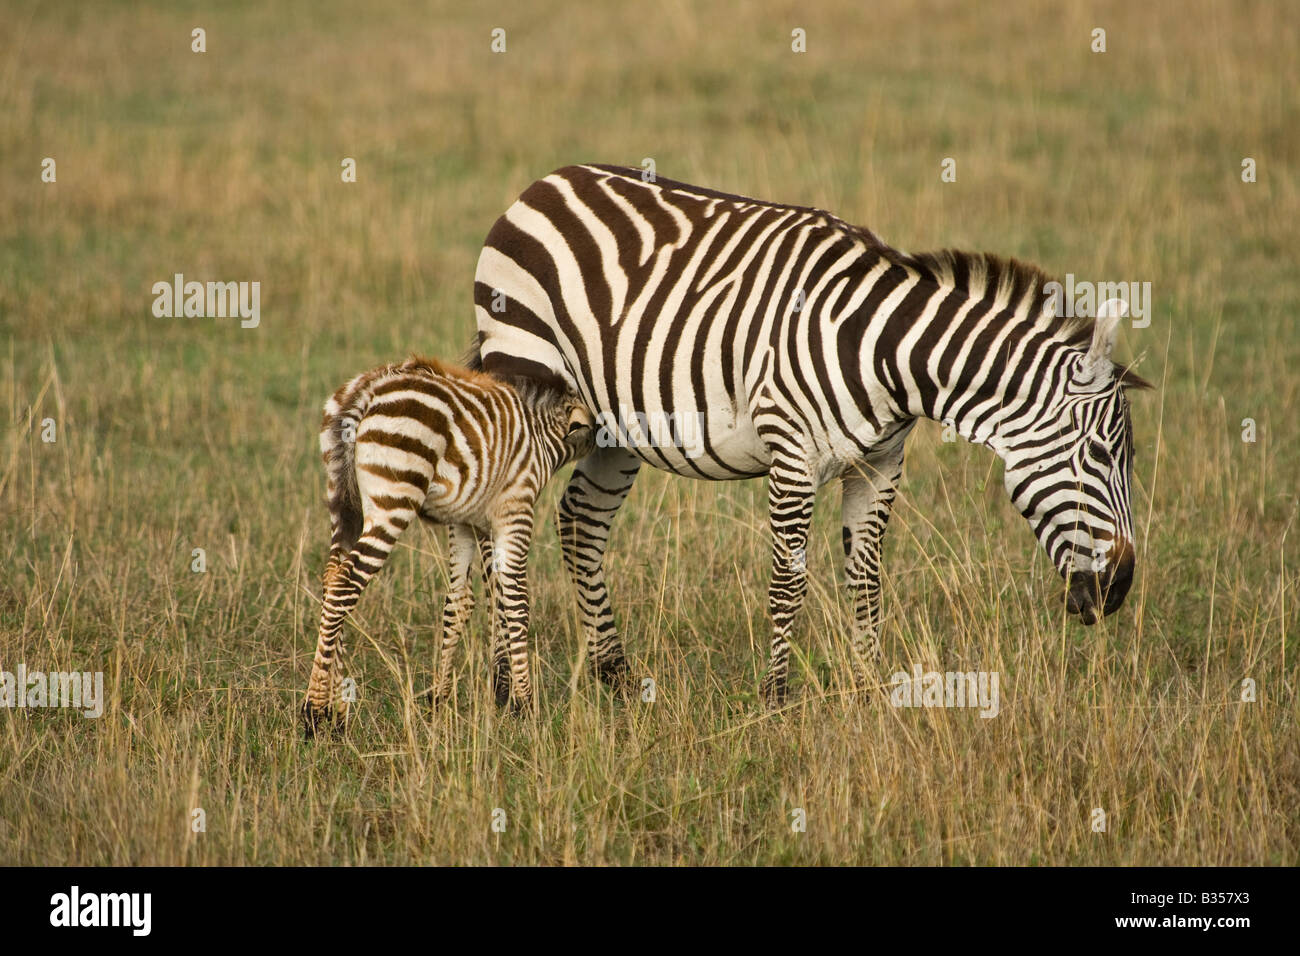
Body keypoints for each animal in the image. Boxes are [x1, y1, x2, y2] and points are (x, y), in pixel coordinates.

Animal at [300, 355, 595, 735]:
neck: (541, 435)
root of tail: (368, 390)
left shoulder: (466, 523)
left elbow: (459, 603)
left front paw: (439, 699)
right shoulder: (515, 511)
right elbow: (517, 603)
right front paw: (525, 706)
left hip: (343, 500)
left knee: (333, 578)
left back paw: (335, 710)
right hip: (394, 498)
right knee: (344, 585)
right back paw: (314, 712)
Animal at [472, 164, 1152, 708]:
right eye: (1100, 453)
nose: (1119, 590)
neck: (886, 352)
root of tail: (546, 182)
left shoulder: (880, 467)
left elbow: (867, 579)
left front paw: (869, 689)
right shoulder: (793, 460)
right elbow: (787, 584)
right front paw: (776, 701)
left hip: (613, 426)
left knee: (581, 521)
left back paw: (613, 676)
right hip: (524, 374)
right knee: (498, 529)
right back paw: (507, 690)